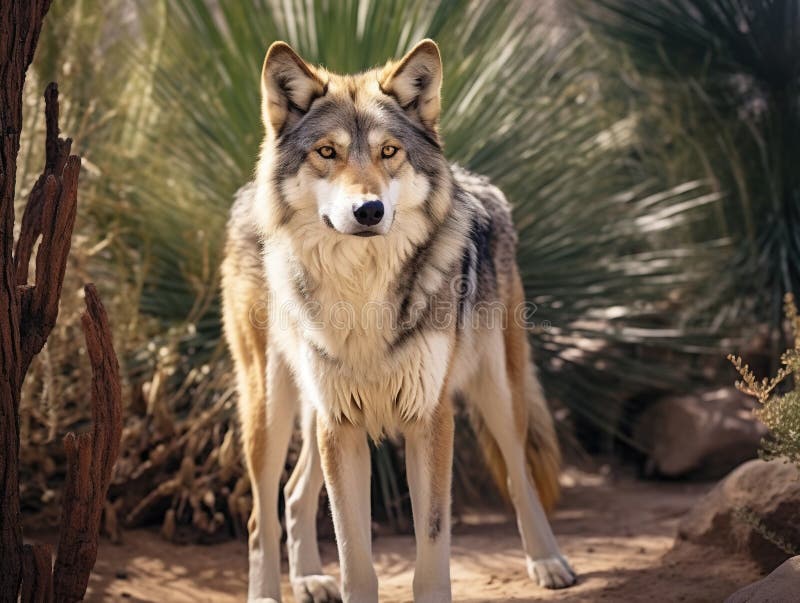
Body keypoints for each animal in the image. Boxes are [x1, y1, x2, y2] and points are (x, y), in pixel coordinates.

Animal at [221, 39, 576, 603]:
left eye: (389, 152)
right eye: (327, 152)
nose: (368, 210)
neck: (362, 293)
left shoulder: (430, 418)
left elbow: (431, 545)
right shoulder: (341, 423)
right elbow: (355, 557)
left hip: (499, 391)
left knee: (518, 475)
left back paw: (547, 561)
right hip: (272, 407)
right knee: (268, 512)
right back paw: (281, 589)